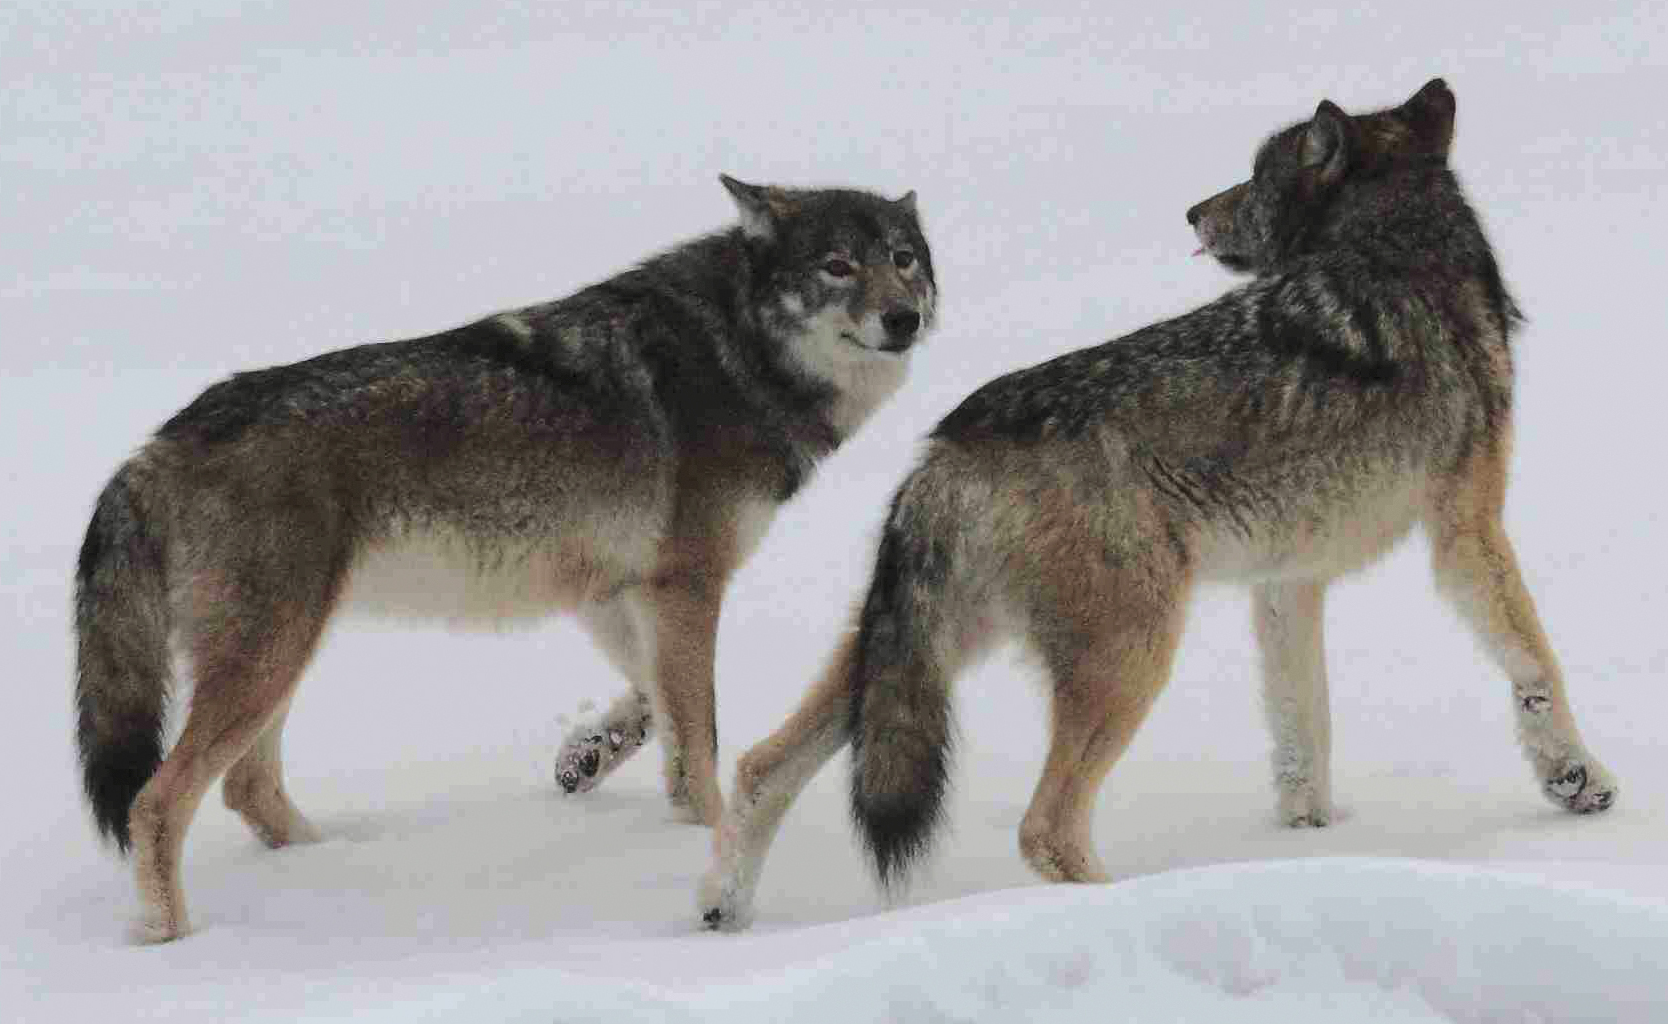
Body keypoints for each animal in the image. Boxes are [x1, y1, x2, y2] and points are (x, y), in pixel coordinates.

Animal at [74, 175, 937, 942]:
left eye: (902, 258)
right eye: (836, 265)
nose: (904, 318)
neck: (736, 348)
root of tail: (153, 448)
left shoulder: (612, 590)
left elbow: (653, 702)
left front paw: (588, 758)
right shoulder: (688, 584)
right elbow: (701, 737)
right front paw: (706, 841)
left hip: (284, 655)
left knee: (247, 789)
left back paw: (335, 869)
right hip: (271, 656)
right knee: (157, 802)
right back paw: (172, 936)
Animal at [698, 79, 1616, 930]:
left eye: (1252, 176)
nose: (1193, 211)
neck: (1399, 248)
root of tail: (949, 445)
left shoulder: (1287, 583)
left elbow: (1303, 732)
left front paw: (1311, 839)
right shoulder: (1466, 530)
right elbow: (1538, 662)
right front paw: (1577, 779)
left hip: (911, 658)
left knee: (760, 765)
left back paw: (721, 908)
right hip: (1134, 655)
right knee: (1045, 830)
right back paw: (1136, 908)